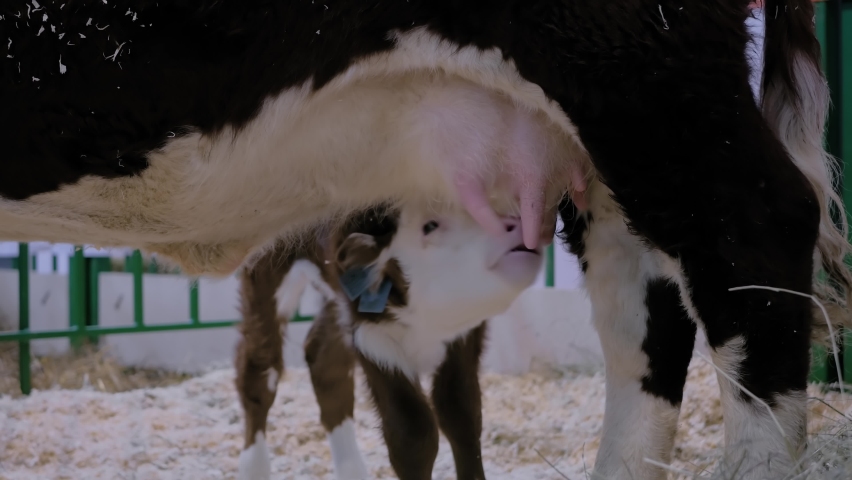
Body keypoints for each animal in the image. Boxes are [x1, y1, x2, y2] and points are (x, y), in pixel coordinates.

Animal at [234, 203, 542, 480]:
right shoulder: (370, 333)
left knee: (323, 359)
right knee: (259, 373)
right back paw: (254, 470)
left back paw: (353, 473)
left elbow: (462, 413)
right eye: (430, 226)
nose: (514, 224)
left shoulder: (464, 335)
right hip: (266, 267)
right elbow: (411, 433)